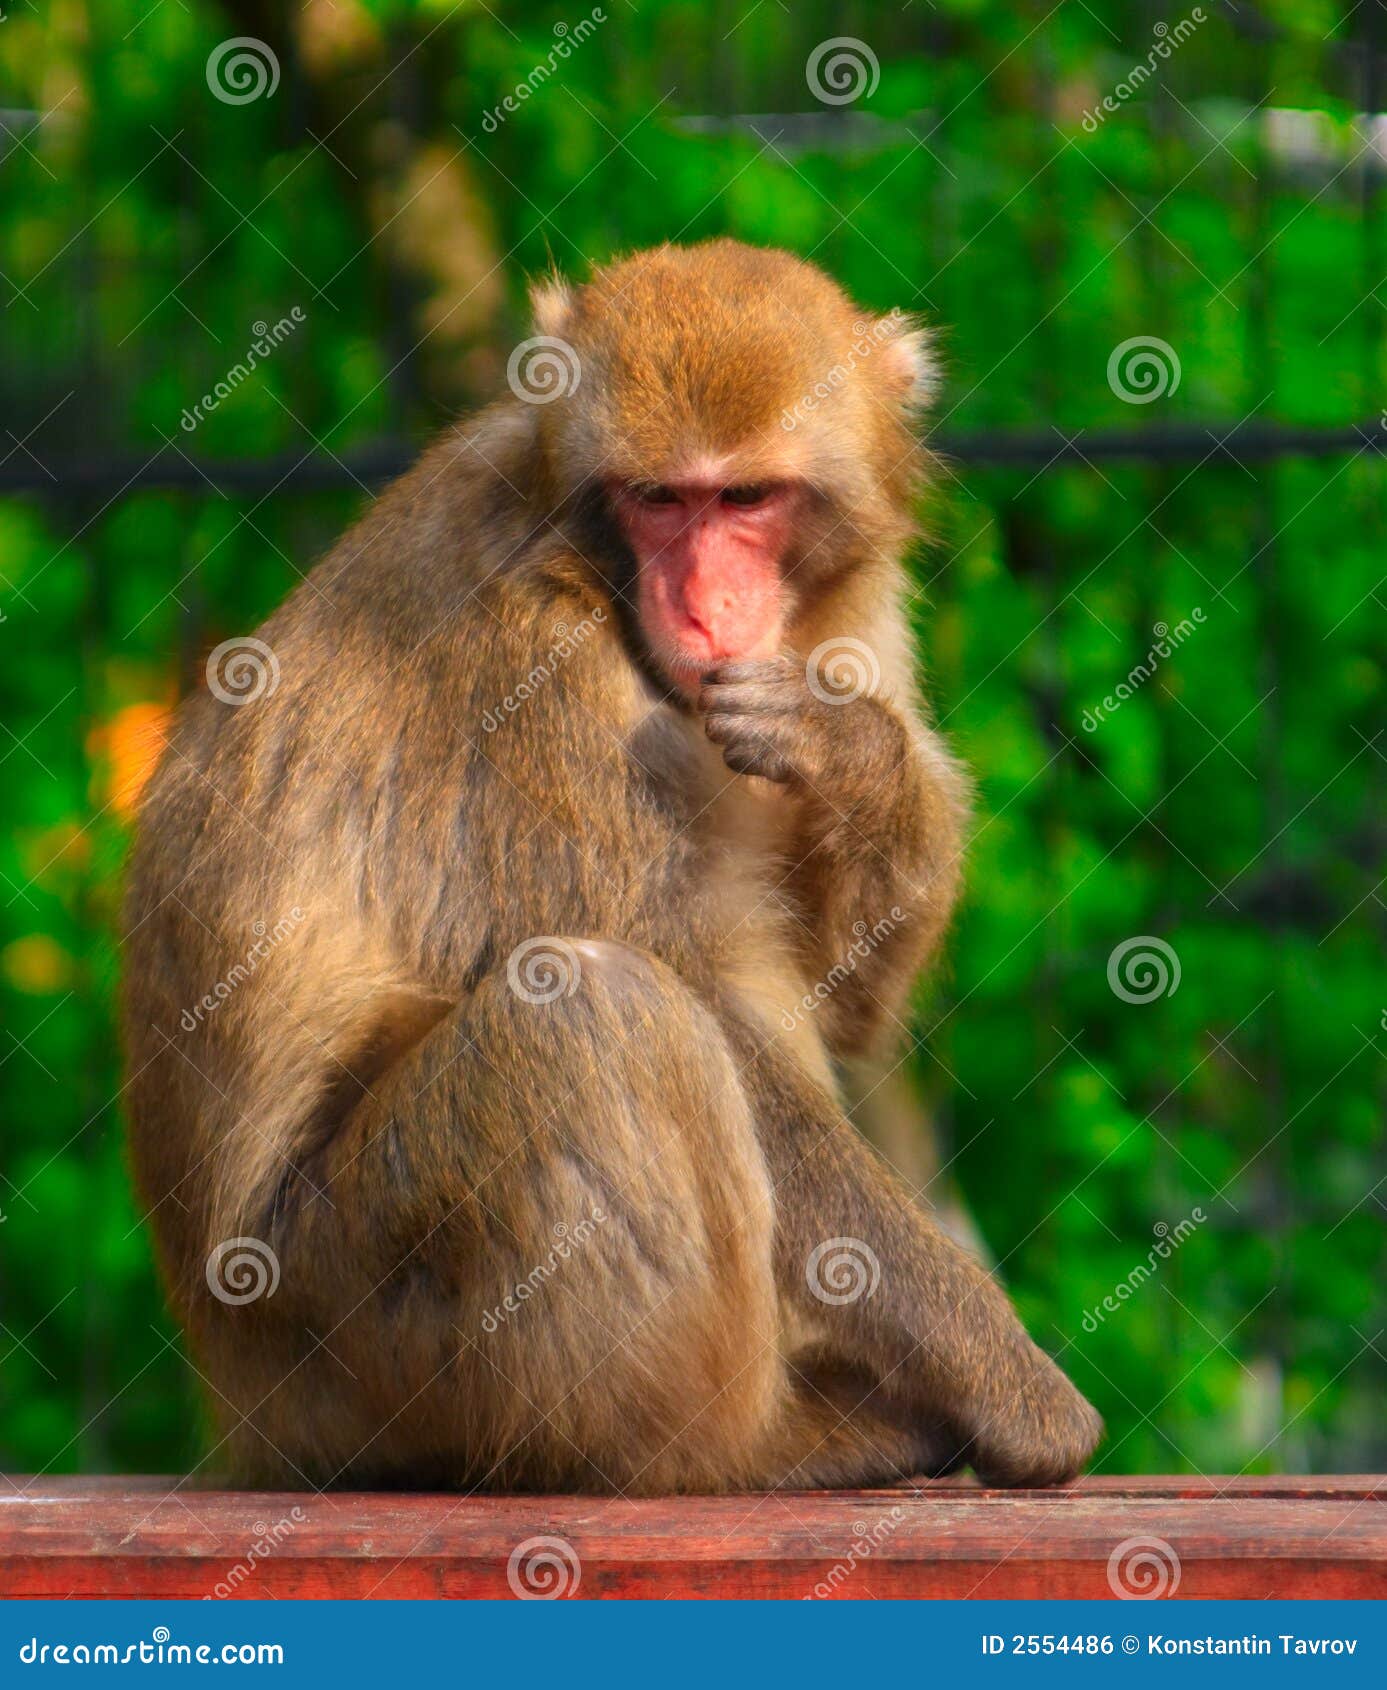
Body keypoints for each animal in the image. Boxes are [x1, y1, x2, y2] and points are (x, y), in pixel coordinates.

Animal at [122, 239, 1102, 1494]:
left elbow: (841, 1001)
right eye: (659, 500)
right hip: (346, 1334)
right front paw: (1011, 1381)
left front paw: (848, 748)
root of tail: (237, 1406)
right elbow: (703, 1001)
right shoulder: (526, 650)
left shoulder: (846, 609)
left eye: (746, 498)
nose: (704, 604)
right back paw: (734, 1448)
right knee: (590, 1009)